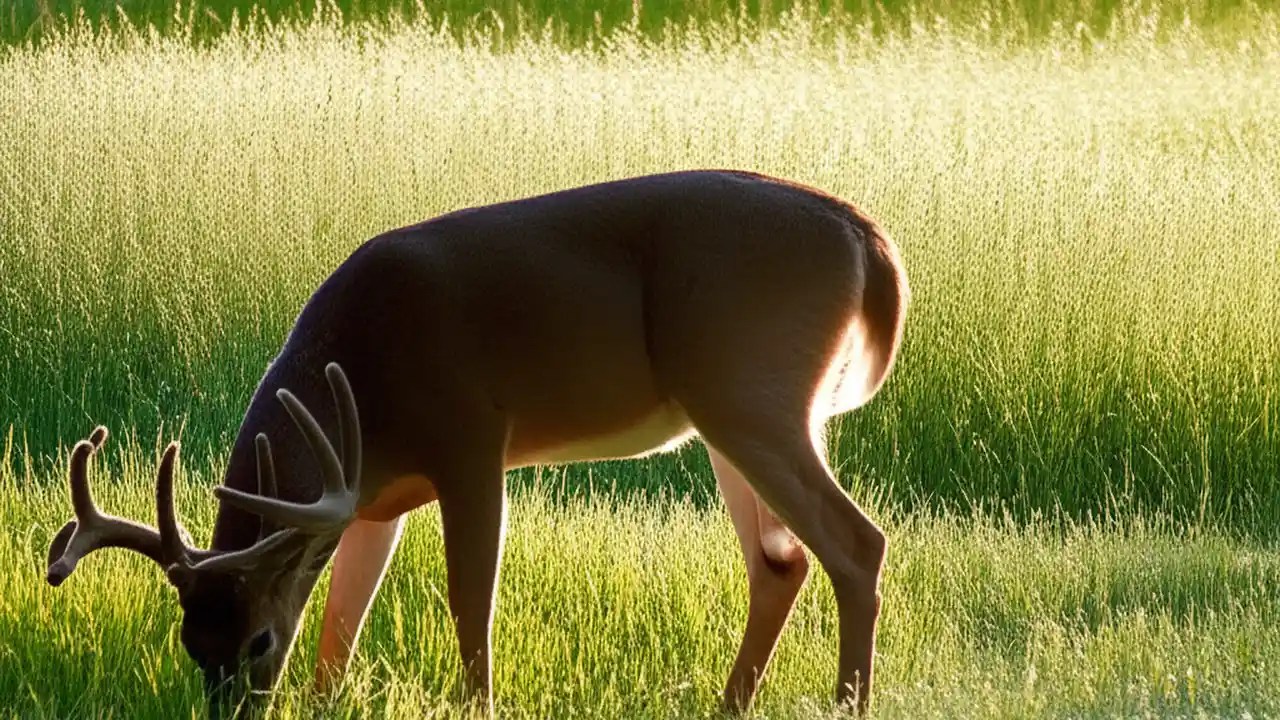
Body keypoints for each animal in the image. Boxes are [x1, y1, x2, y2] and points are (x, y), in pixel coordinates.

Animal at [44, 169, 909, 717]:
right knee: (781, 562)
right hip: (732, 412)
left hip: (754, 393)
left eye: (257, 639)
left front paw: (479, 703)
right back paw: (731, 704)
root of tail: (871, 243)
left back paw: (847, 703)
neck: (361, 371)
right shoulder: (370, 500)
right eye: (192, 644)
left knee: (855, 543)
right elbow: (341, 625)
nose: (239, 712)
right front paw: (323, 702)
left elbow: (471, 600)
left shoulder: (468, 438)